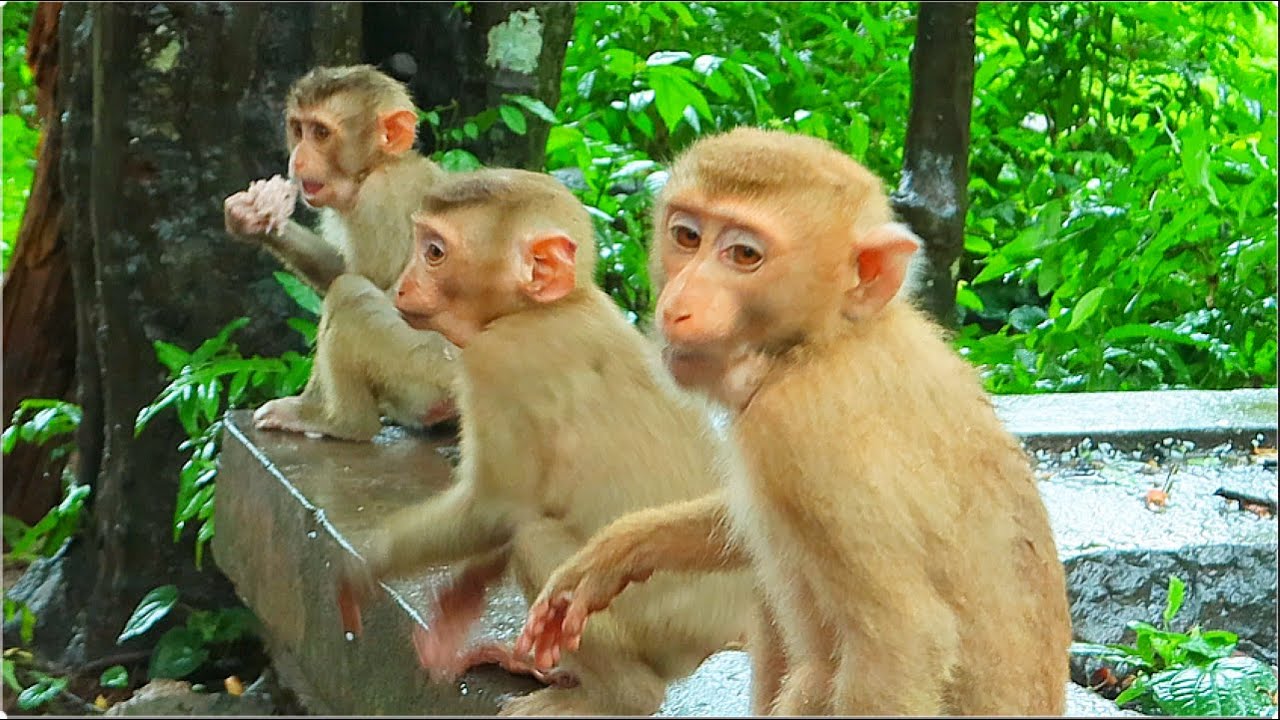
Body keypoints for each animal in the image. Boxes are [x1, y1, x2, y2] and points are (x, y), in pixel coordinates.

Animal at [223, 64, 458, 441]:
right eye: (299, 129)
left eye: (321, 133)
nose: (298, 159)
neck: (375, 168)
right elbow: (338, 268)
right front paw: (252, 218)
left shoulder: (380, 201)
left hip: (430, 374)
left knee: (351, 298)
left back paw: (337, 420)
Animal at [335, 168, 756, 715]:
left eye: (434, 252)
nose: (402, 286)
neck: (548, 307)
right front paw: (458, 605)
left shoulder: (494, 361)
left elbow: (496, 506)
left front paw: (368, 565)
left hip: (664, 618)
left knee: (537, 542)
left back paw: (621, 697)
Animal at [515, 128, 1073, 716]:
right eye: (687, 236)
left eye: (744, 254)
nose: (678, 303)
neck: (824, 342)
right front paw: (621, 548)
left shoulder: (801, 434)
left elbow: (903, 647)